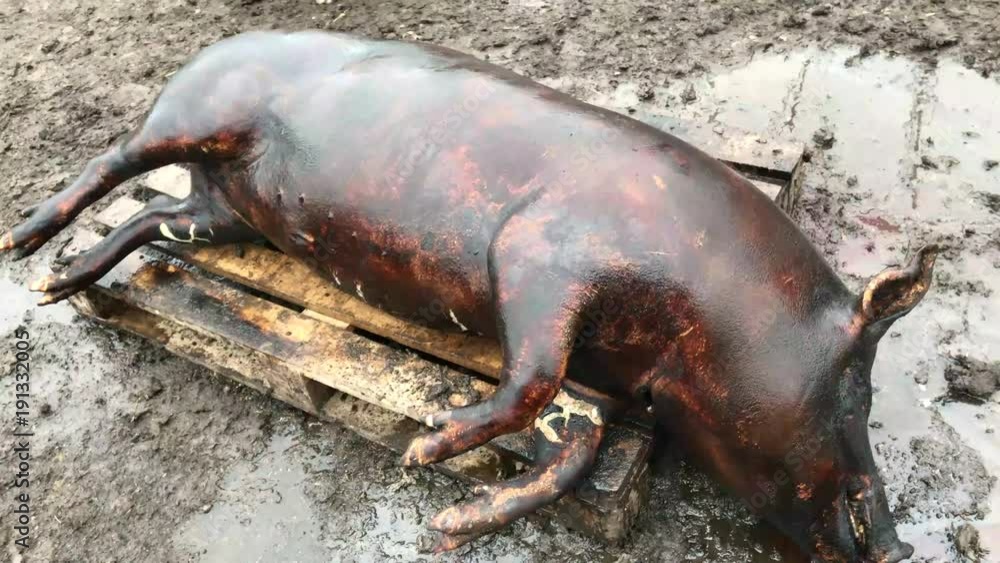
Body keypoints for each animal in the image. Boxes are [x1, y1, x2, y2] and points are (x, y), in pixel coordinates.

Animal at [1, 32, 937, 561]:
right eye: (854, 388)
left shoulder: (595, 382)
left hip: (226, 214)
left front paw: (448, 525)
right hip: (193, 116)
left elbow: (575, 448)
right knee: (108, 163)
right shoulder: (537, 259)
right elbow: (526, 383)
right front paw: (424, 446)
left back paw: (58, 283)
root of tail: (221, 39)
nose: (892, 546)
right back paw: (25, 248)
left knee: (149, 217)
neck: (705, 313)